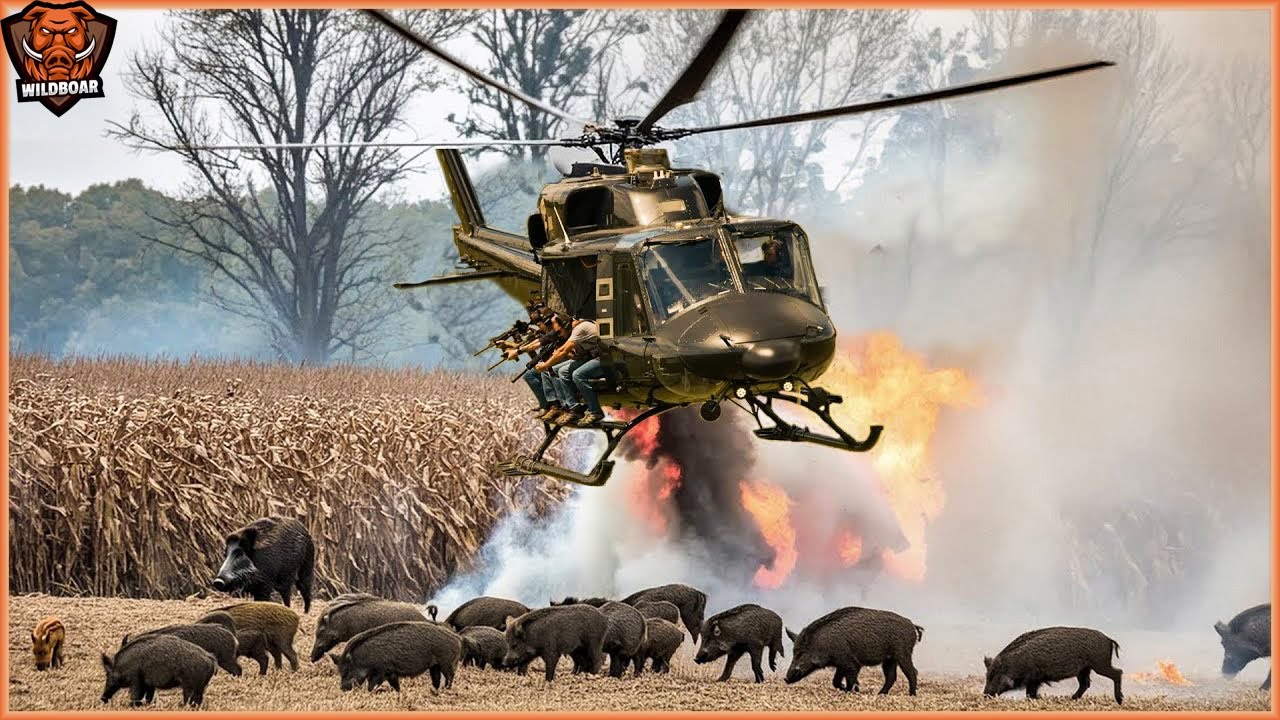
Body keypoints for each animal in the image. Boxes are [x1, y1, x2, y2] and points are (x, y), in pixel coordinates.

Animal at [329, 620, 461, 692]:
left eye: (347, 671)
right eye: (340, 672)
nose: (342, 688)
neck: (364, 659)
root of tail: (457, 639)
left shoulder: (381, 671)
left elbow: (371, 685)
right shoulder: (391, 673)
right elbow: (395, 686)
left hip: (446, 662)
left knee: (450, 676)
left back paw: (446, 690)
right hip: (434, 666)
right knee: (436, 679)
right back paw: (435, 690)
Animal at [784, 606, 923, 695]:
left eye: (801, 653)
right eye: (794, 652)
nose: (785, 679)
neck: (822, 644)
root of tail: (912, 625)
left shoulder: (851, 663)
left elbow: (849, 679)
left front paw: (851, 690)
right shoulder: (841, 665)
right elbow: (835, 681)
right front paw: (848, 689)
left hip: (903, 653)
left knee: (912, 672)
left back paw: (912, 694)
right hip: (889, 659)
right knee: (891, 676)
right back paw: (880, 694)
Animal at [983, 626, 1123, 704]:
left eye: (994, 676)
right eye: (987, 676)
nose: (985, 695)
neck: (1016, 663)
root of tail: (1108, 639)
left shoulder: (1034, 678)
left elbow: (1030, 693)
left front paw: (1037, 699)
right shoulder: (1034, 680)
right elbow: (1030, 693)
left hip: (1100, 664)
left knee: (1118, 672)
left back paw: (1120, 700)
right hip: (1084, 669)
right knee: (1085, 684)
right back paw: (1072, 698)